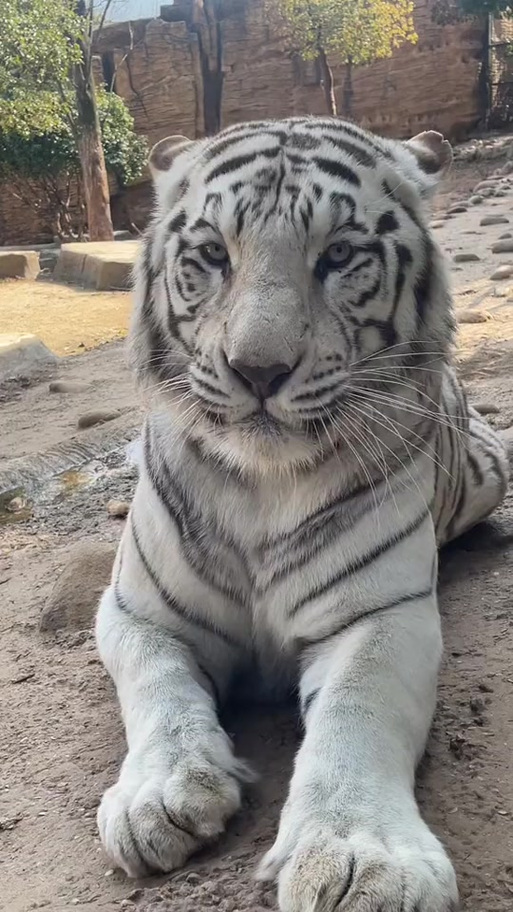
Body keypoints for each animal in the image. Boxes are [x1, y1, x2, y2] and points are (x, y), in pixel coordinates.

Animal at [96, 116, 509, 912]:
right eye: (212, 255)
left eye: (339, 255)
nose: (258, 370)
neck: (260, 487)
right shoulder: (136, 610)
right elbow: (156, 687)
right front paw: (157, 797)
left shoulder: (380, 615)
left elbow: (357, 710)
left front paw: (362, 859)